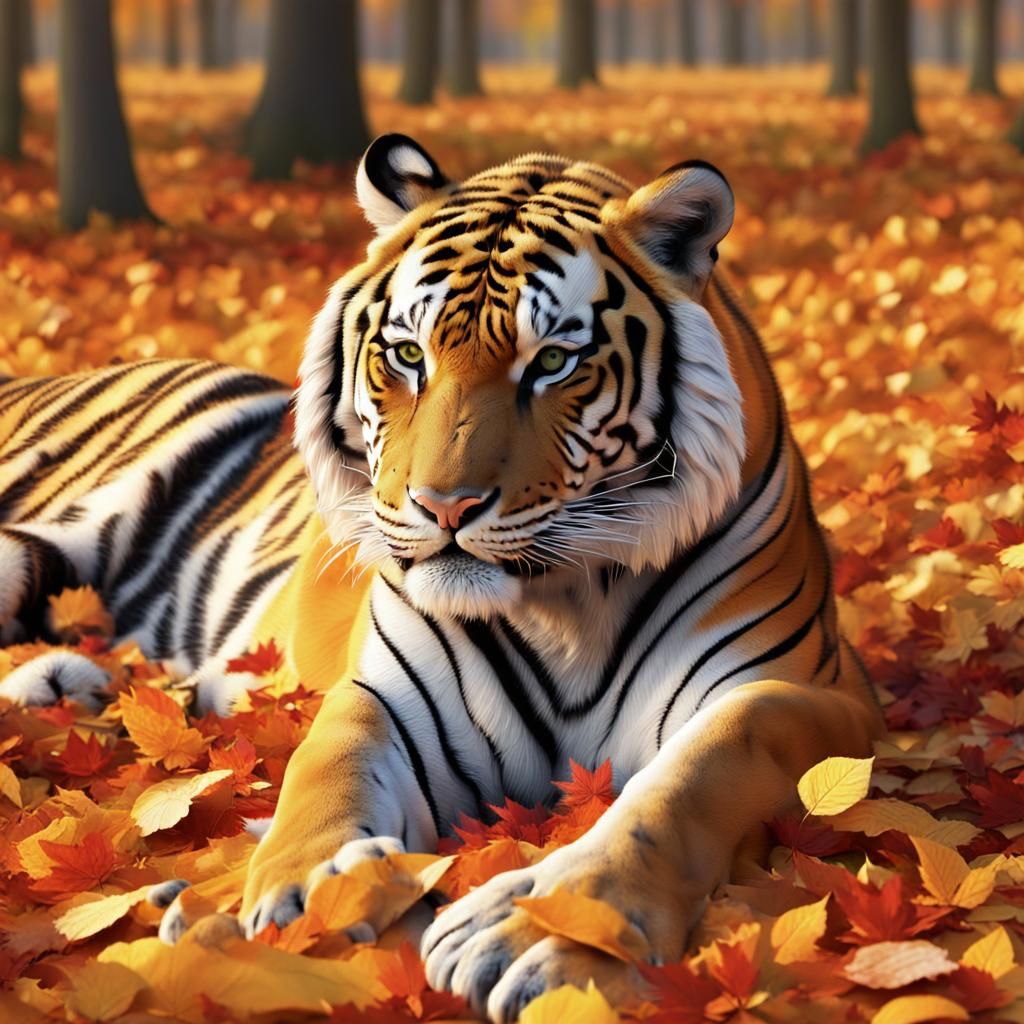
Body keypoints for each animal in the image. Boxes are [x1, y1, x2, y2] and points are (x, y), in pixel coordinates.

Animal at [0, 134, 884, 1021]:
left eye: (553, 361)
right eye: (406, 354)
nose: (442, 505)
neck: (570, 603)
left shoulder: (805, 690)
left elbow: (697, 777)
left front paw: (547, 932)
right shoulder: (390, 699)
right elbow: (329, 770)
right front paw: (309, 903)